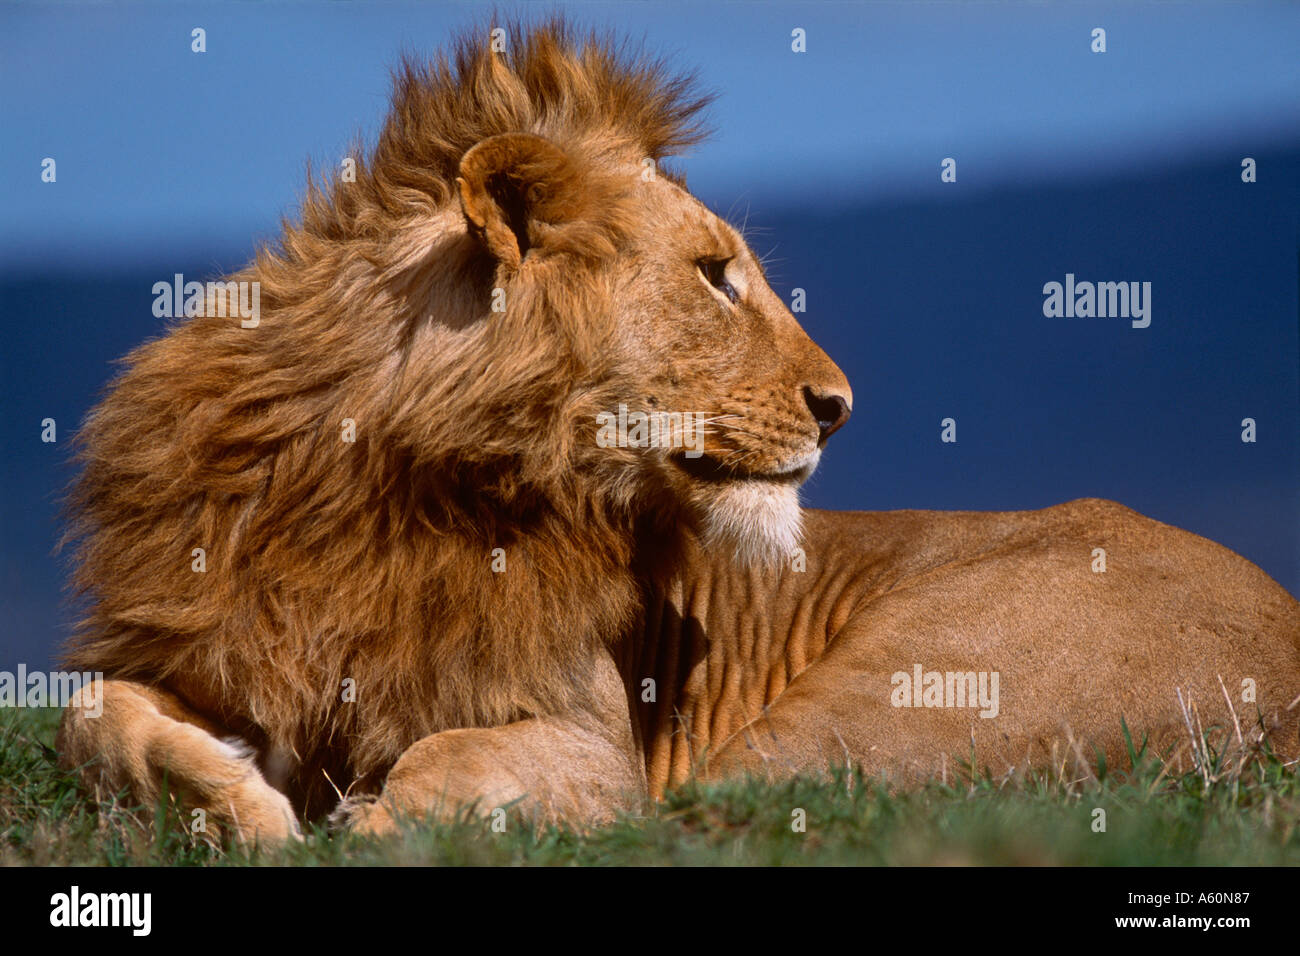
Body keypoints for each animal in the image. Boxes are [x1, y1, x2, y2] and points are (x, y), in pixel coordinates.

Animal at [57, 20, 1300, 844]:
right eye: (714, 274)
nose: (840, 404)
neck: (388, 480)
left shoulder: (596, 740)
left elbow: (453, 761)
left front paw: (350, 825)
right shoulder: (210, 644)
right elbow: (91, 712)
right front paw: (234, 799)